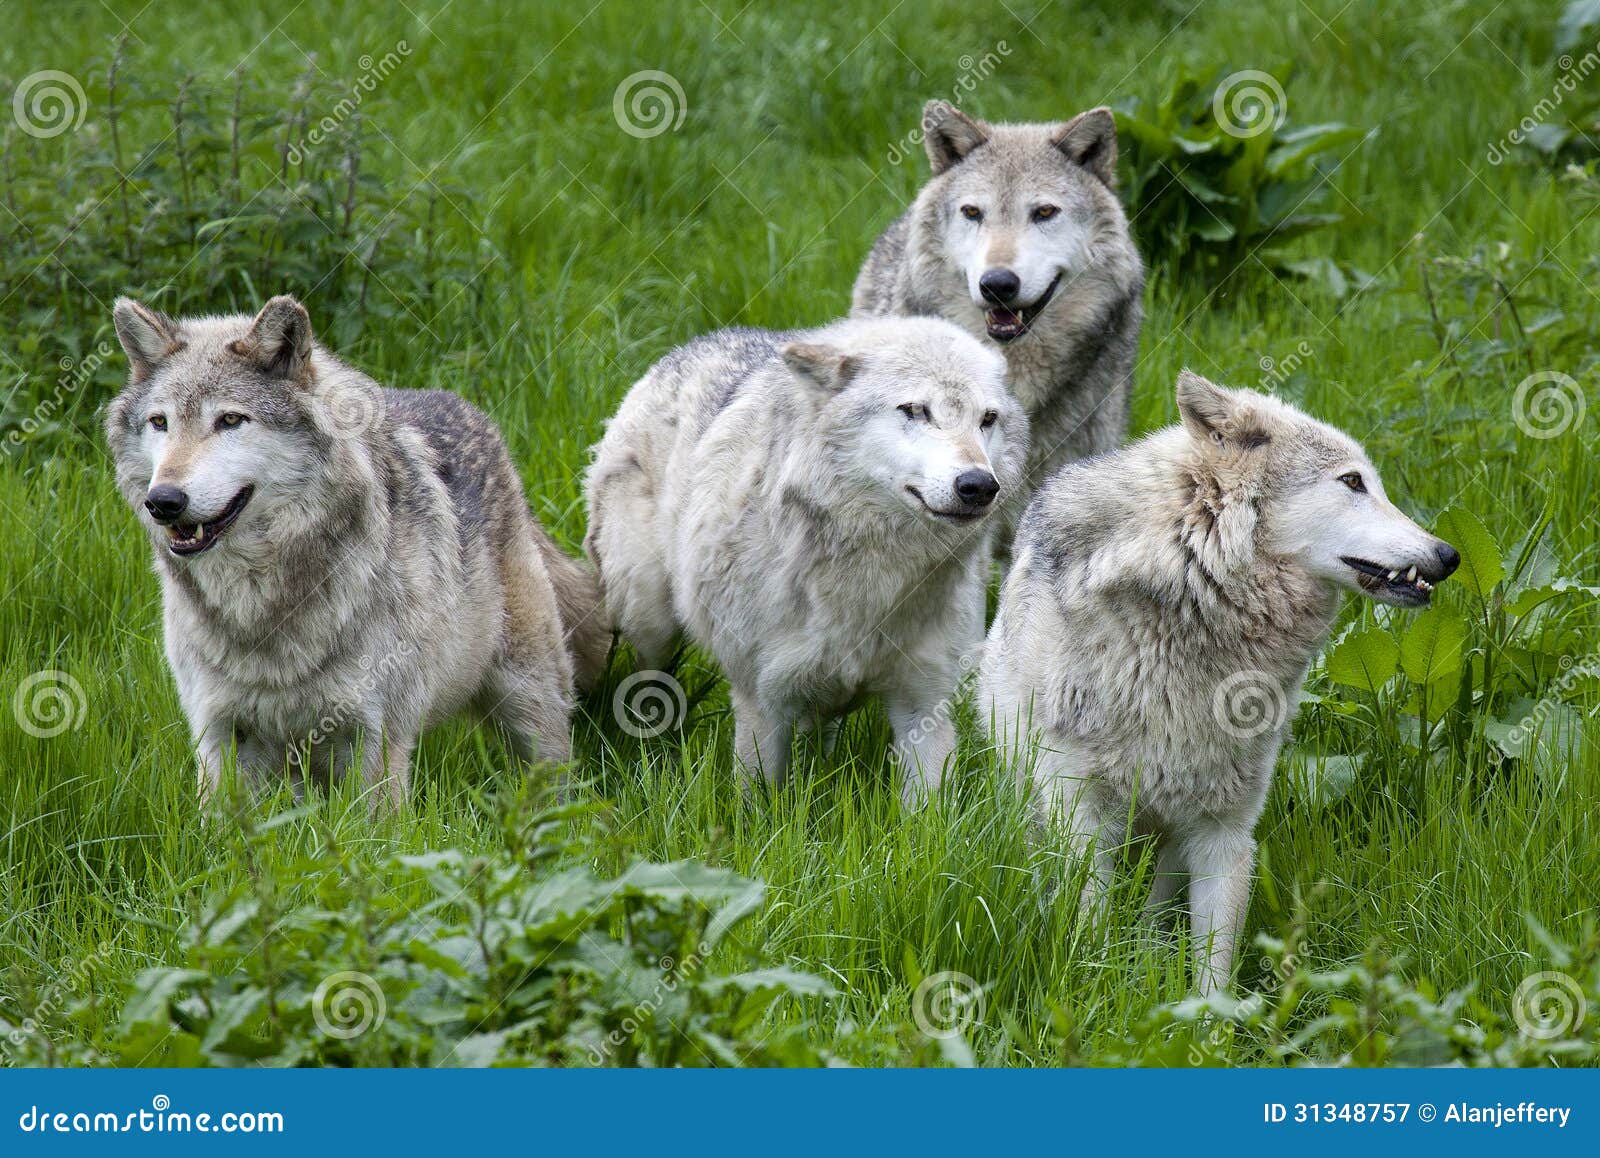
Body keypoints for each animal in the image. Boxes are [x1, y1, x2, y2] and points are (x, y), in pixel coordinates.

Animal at [105, 295, 608, 807]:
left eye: (229, 420)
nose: (163, 500)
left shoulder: (377, 737)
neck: (260, 603)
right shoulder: (218, 733)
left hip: (530, 710)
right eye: (160, 423)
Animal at [585, 317, 1028, 804]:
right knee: (649, 684)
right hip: (650, 619)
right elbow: (758, 803)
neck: (872, 570)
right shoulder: (761, 700)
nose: (978, 485)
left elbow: (926, 814)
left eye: (987, 419)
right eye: (915, 410)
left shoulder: (925, 701)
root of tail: (691, 345)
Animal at [979, 370, 1459, 992]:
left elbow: (1215, 971)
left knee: (1156, 907)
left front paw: (1197, 1016)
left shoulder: (1224, 834)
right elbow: (1089, 931)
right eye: (1353, 482)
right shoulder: (1083, 818)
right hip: (1033, 796)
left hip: (1172, 832)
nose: (1449, 555)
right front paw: (1094, 993)